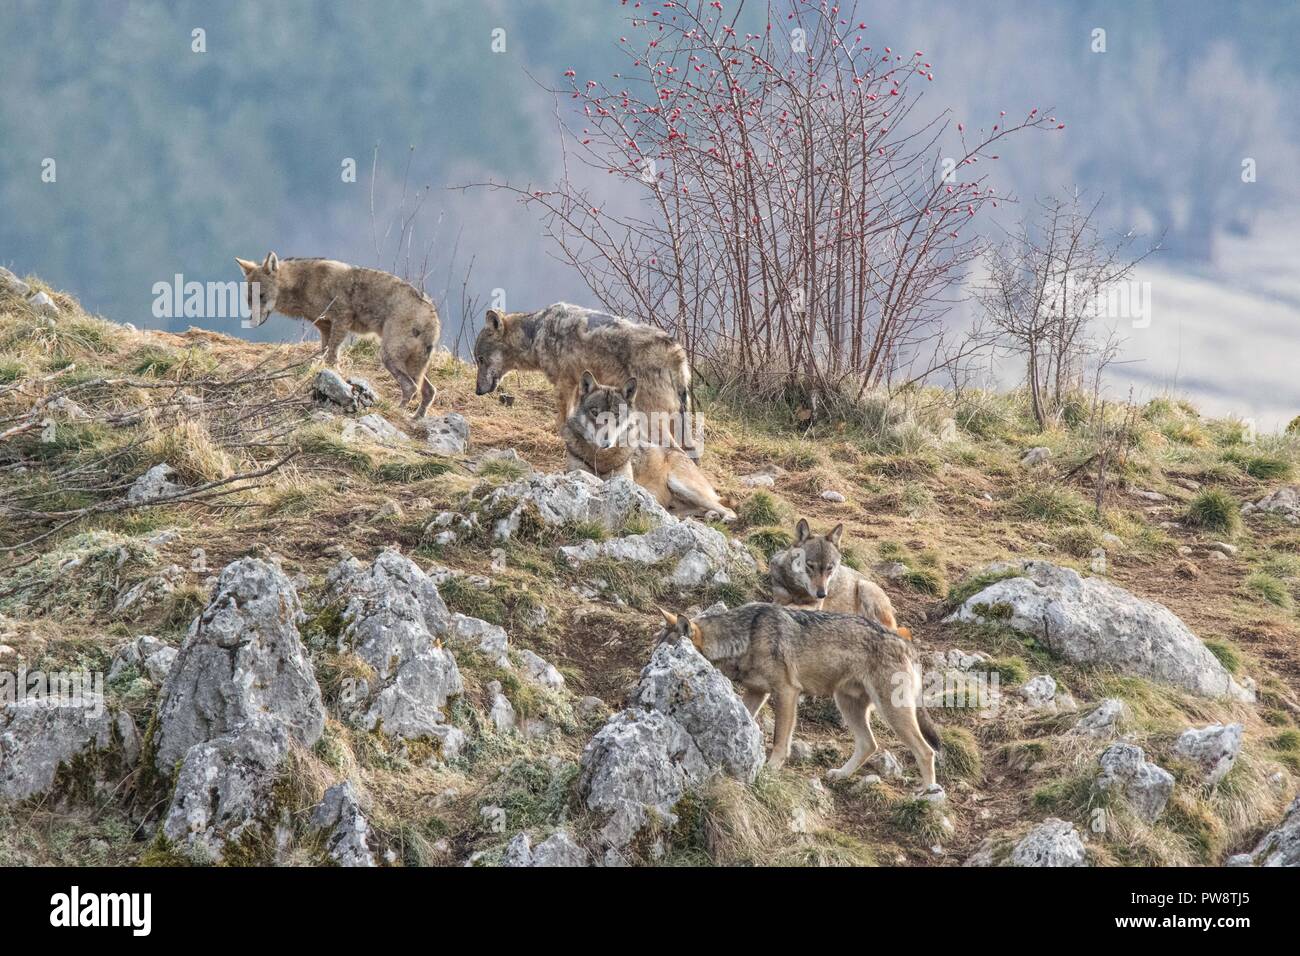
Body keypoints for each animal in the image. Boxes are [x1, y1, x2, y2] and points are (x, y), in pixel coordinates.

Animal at [235, 252, 441, 416]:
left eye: (261, 296)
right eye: (249, 299)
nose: (251, 322)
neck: (304, 284)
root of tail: (432, 313)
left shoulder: (342, 319)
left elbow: (333, 355)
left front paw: (332, 373)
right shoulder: (324, 326)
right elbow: (325, 352)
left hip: (388, 357)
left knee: (411, 387)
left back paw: (398, 411)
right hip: (413, 366)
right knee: (429, 391)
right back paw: (416, 418)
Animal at [472, 303, 693, 446]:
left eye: (481, 359)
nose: (477, 391)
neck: (538, 333)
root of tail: (677, 352)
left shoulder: (565, 384)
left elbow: (562, 418)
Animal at [562, 371, 735, 521]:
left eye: (617, 415)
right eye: (595, 412)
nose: (605, 442)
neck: (602, 459)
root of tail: (682, 454)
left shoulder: (624, 481)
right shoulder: (577, 472)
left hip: (682, 485)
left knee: (728, 509)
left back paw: (723, 517)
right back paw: (710, 515)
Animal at [658, 603, 941, 789]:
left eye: (671, 652)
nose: (653, 667)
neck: (746, 637)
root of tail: (909, 646)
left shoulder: (786, 692)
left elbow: (780, 741)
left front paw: (770, 769)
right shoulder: (757, 692)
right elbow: (746, 723)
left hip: (891, 711)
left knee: (926, 751)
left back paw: (927, 794)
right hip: (846, 704)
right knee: (869, 744)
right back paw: (841, 775)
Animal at [769, 519, 908, 637]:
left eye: (829, 568)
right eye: (810, 565)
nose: (822, 594)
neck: (798, 590)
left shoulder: (815, 605)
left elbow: (788, 607)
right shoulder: (780, 595)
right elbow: (781, 603)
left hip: (864, 587)